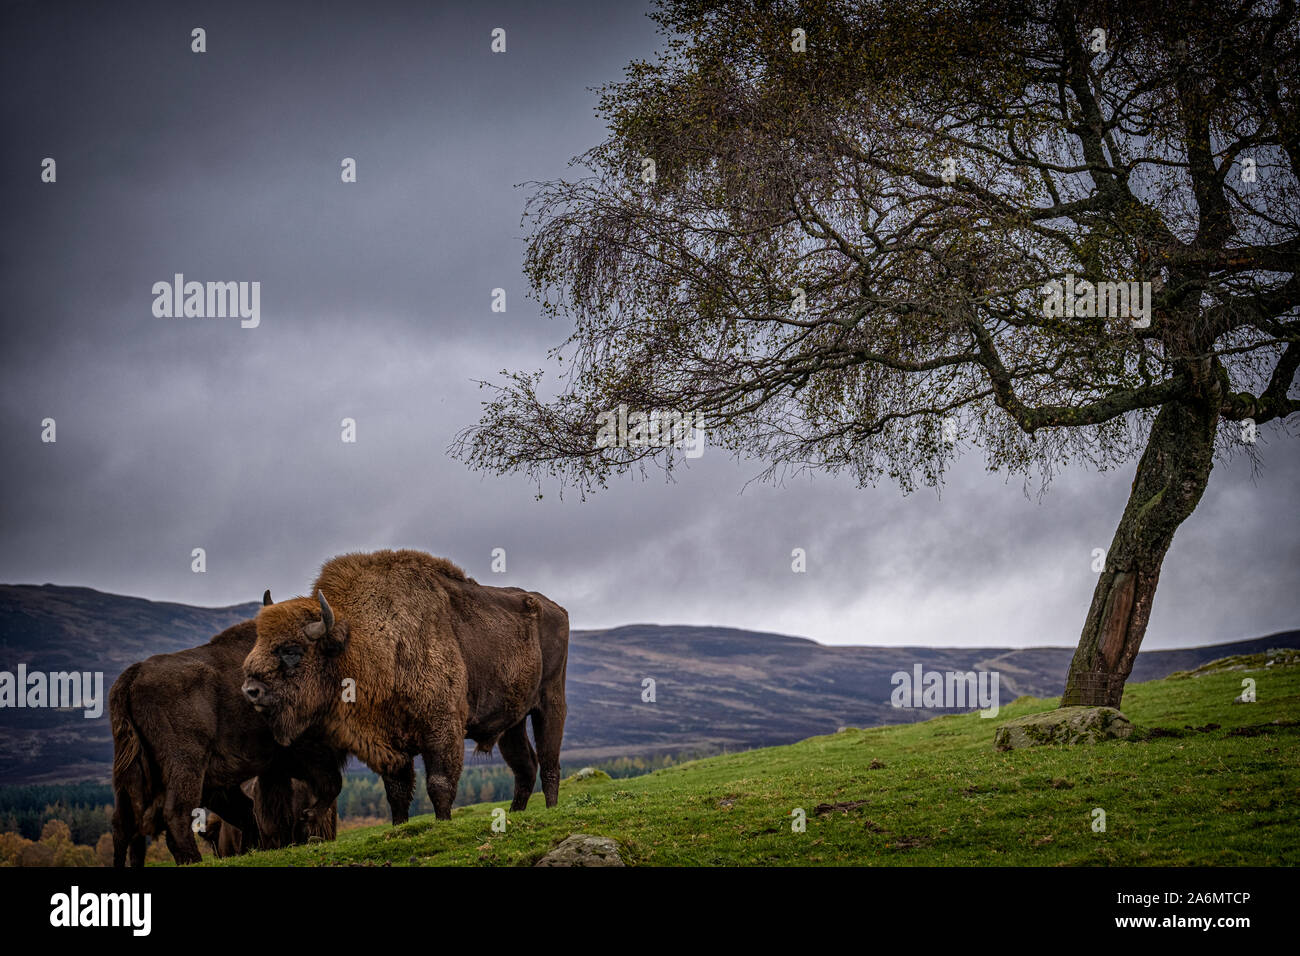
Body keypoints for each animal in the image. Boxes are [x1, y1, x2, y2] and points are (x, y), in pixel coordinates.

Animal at [242, 549, 569, 820]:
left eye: (291, 651)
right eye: (259, 641)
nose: (250, 690)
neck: (361, 642)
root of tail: (557, 609)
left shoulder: (442, 729)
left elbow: (439, 784)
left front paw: (442, 823)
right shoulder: (390, 745)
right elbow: (397, 793)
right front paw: (399, 827)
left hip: (550, 703)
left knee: (549, 760)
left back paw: (552, 809)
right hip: (512, 723)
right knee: (525, 766)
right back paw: (515, 813)